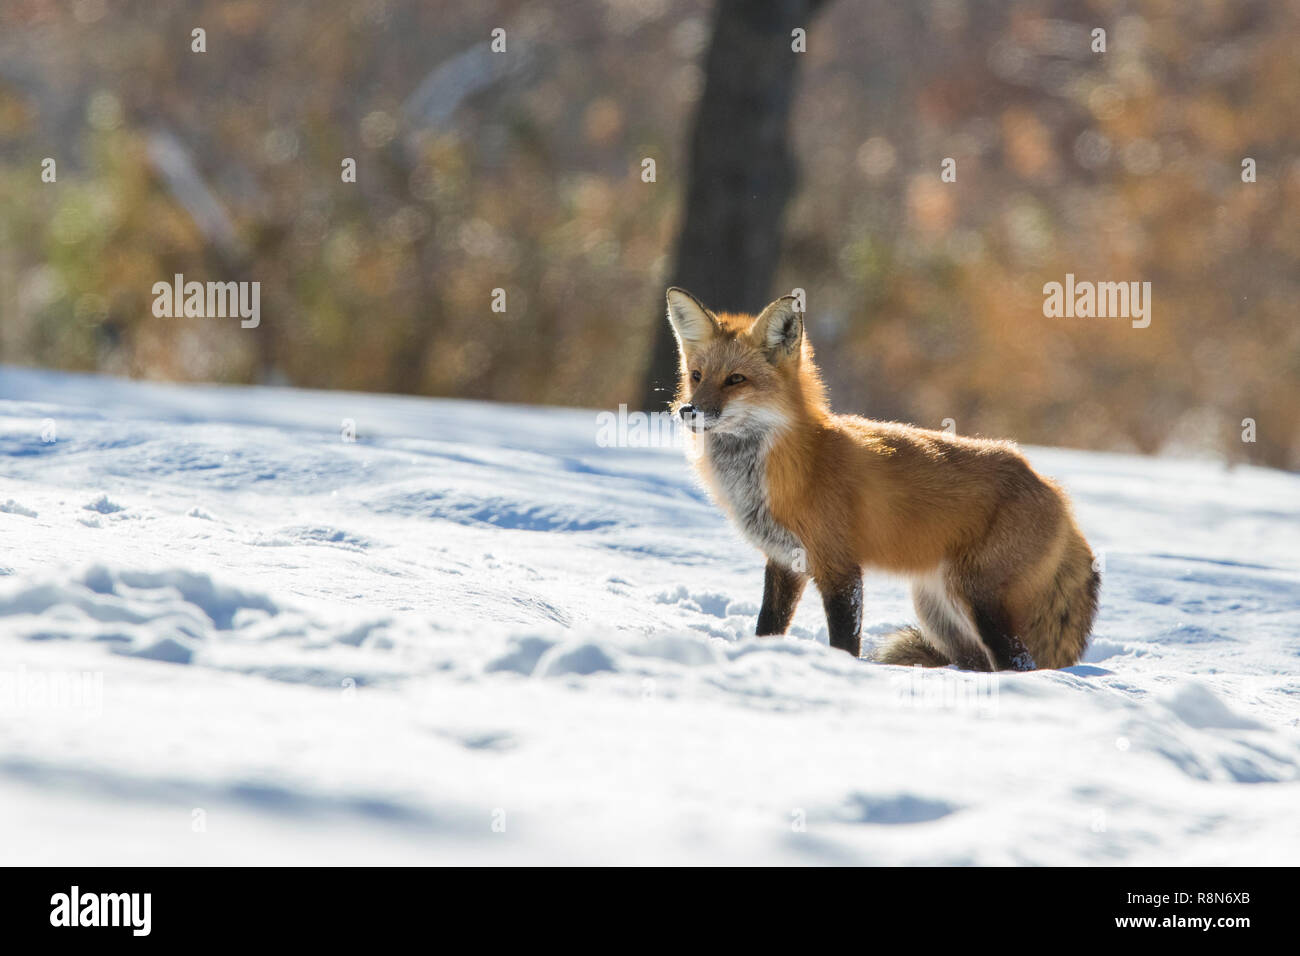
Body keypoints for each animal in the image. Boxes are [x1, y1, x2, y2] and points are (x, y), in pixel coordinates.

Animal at [664, 286, 1099, 671]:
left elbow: (845, 642)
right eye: (697, 376)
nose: (689, 410)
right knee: (978, 664)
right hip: (937, 610)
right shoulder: (785, 562)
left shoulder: (839, 568)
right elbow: (767, 628)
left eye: (736, 379)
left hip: (980, 601)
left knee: (1019, 662)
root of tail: (1052, 488)